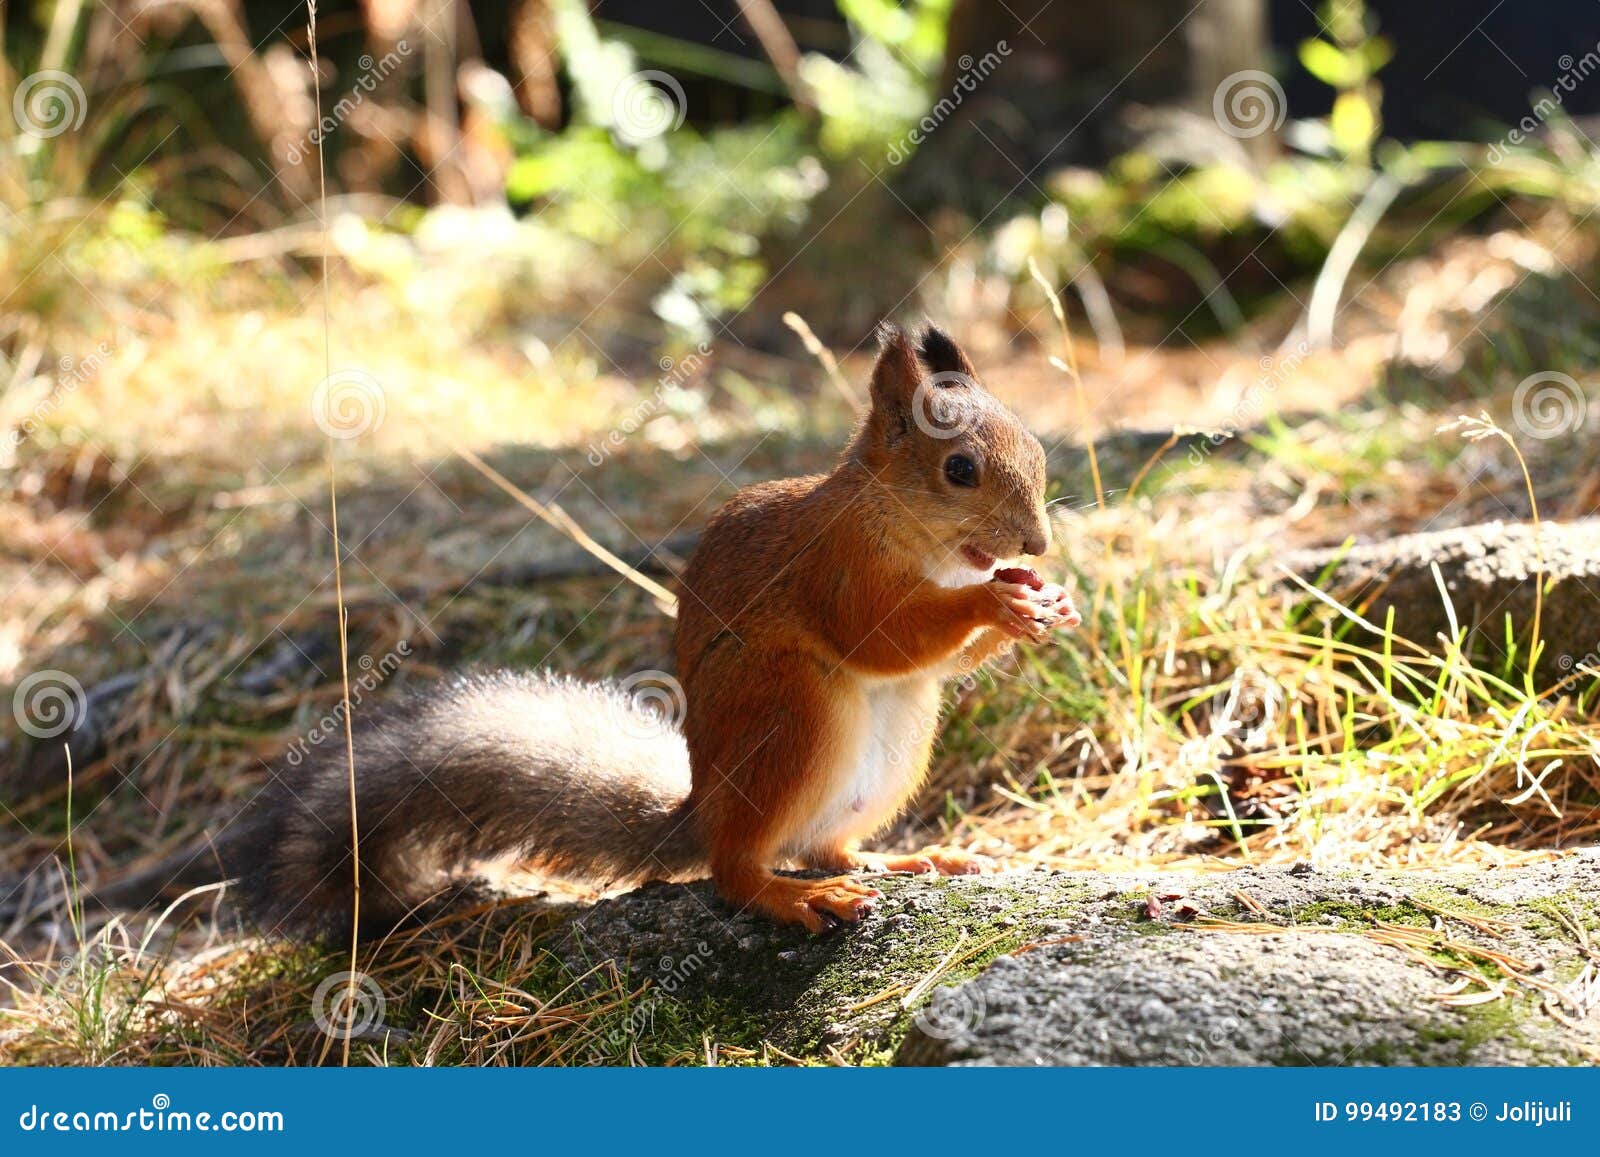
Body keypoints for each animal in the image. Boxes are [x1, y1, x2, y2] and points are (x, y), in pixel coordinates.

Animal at [70, 323, 1079, 941]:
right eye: (959, 469)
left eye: (1035, 447)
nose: (1035, 543)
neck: (908, 530)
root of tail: (704, 809)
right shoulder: (834, 571)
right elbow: (884, 636)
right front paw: (999, 605)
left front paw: (1047, 602)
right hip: (792, 713)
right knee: (739, 871)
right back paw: (795, 899)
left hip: (891, 752)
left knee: (822, 842)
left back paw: (908, 853)